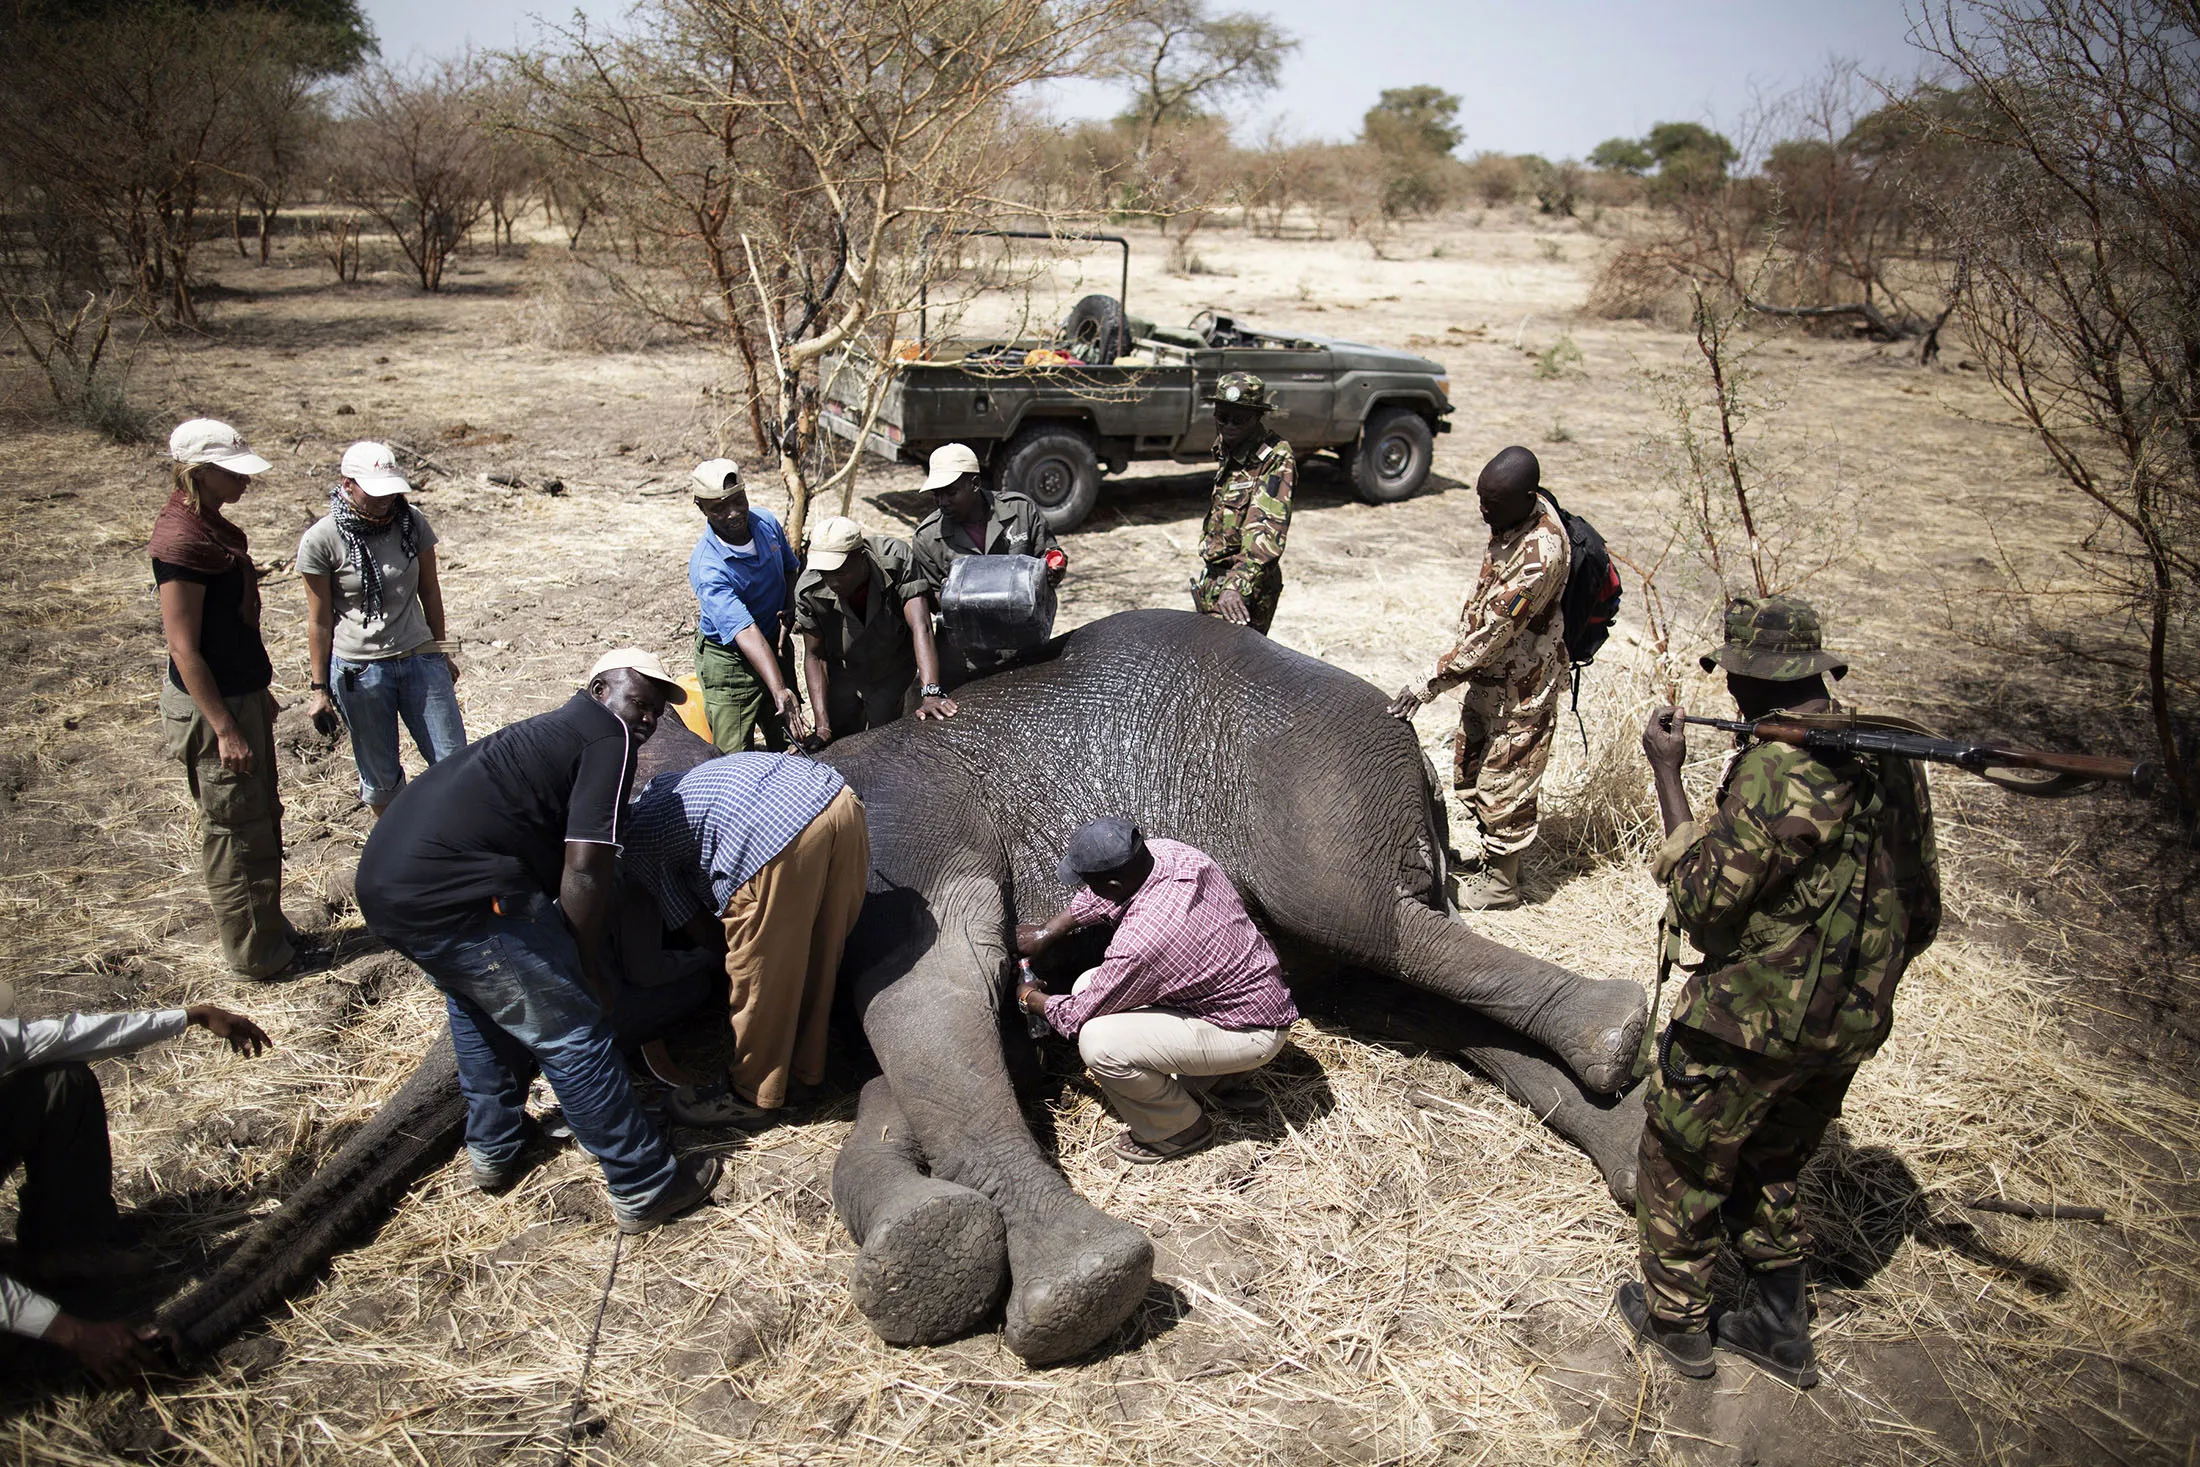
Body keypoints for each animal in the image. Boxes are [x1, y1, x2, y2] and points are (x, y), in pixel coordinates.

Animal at [155, 610, 1646, 1368]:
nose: (162, 1341)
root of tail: (1400, 721)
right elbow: (906, 1065)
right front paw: (929, 1259)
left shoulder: (897, 849)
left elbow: (928, 1006)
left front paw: (1072, 1296)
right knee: (1398, 997)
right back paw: (1630, 1132)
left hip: (1306, 788)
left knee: (1384, 933)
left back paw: (1622, 1032)